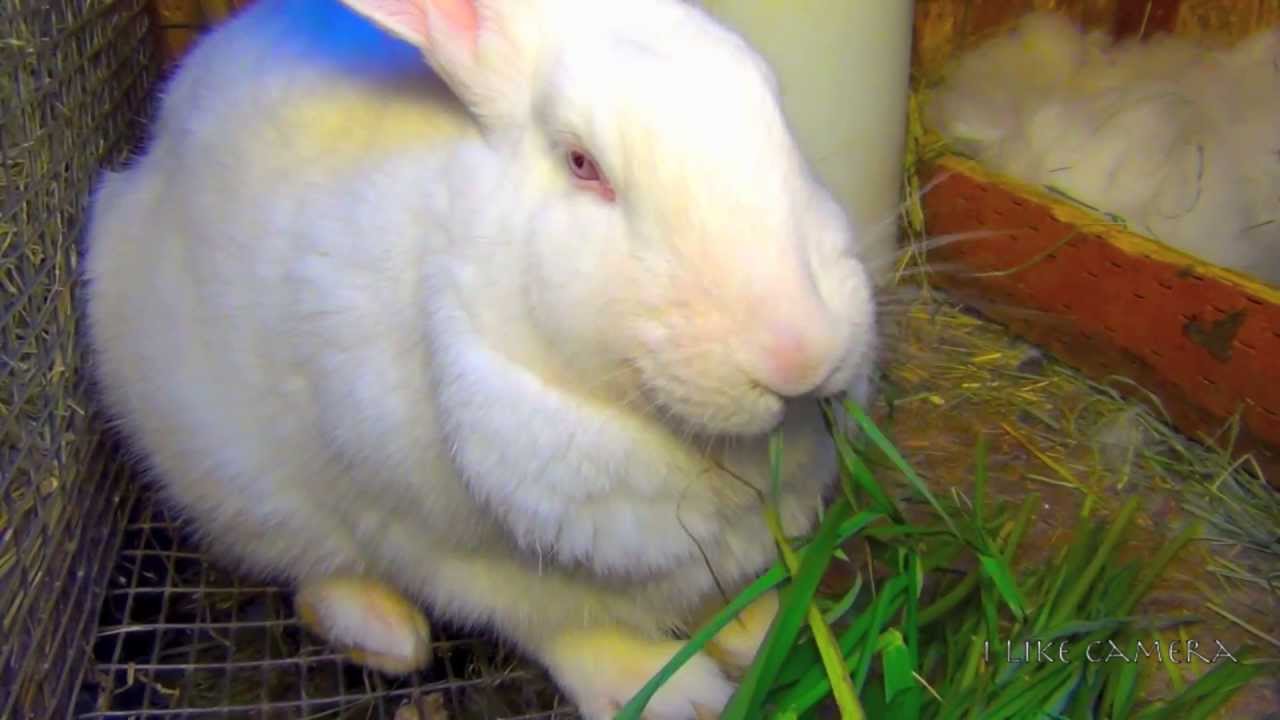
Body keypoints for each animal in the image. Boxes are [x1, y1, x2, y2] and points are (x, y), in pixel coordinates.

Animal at [81, 0, 880, 718]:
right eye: (583, 164)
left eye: (773, 102)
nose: (802, 354)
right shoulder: (458, 556)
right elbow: (566, 628)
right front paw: (667, 693)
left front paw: (758, 626)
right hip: (227, 479)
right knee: (309, 568)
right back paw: (385, 633)